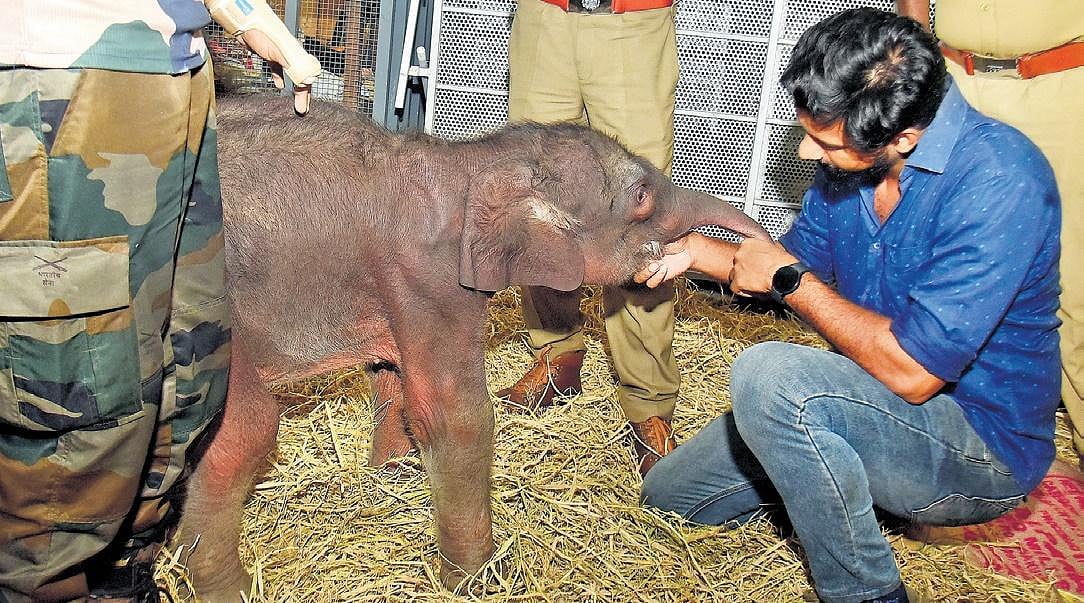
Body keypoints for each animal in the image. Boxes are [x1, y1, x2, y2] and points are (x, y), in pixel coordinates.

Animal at [173, 95, 771, 600]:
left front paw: (392, 480)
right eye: (642, 197)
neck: (471, 161)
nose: (757, 265)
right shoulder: (429, 279)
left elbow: (392, 379)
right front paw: (480, 579)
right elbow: (454, 413)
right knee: (245, 429)